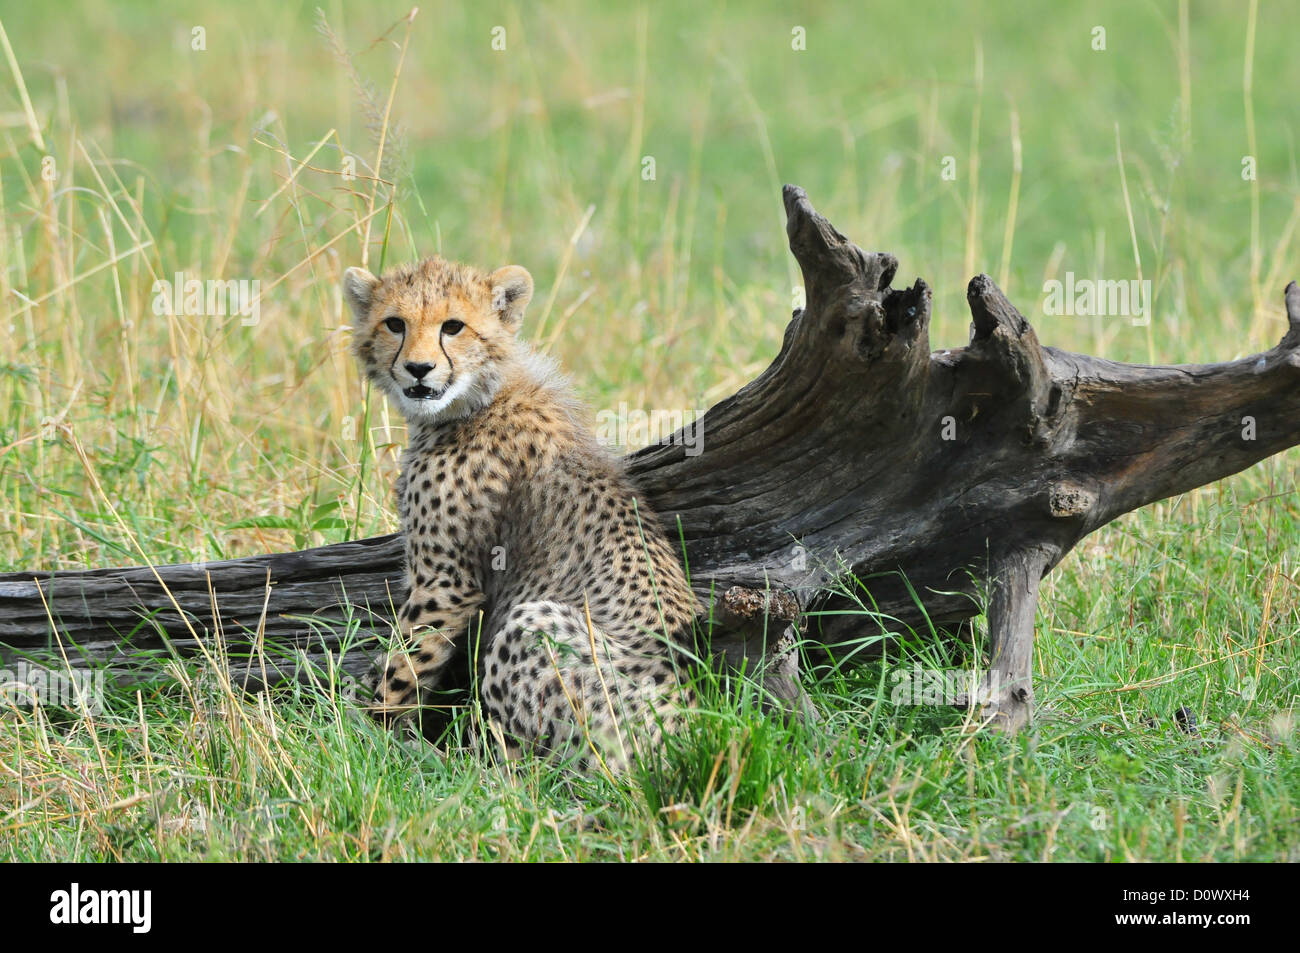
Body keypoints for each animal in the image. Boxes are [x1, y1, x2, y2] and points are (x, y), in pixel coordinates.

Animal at [343, 256, 698, 771]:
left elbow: (403, 665)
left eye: (453, 326)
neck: (479, 396)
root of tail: (689, 738)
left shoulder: (445, 584)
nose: (418, 369)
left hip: (535, 625)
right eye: (395, 324)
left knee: (513, 770)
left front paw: (363, 736)